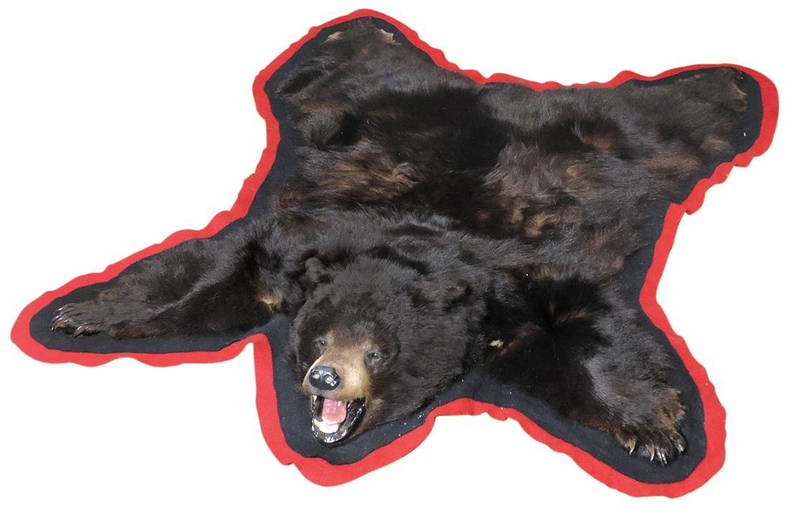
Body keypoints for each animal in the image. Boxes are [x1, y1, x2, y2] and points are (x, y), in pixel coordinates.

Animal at [50, 20, 754, 465]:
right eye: (319, 337)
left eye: (378, 351)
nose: (324, 377)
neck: (418, 244)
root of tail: (493, 87)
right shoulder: (302, 239)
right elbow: (216, 265)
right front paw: (81, 310)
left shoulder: (524, 271)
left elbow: (595, 327)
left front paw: (654, 429)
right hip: (348, 100)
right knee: (340, 64)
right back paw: (356, 30)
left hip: (624, 139)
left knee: (669, 119)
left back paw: (729, 82)